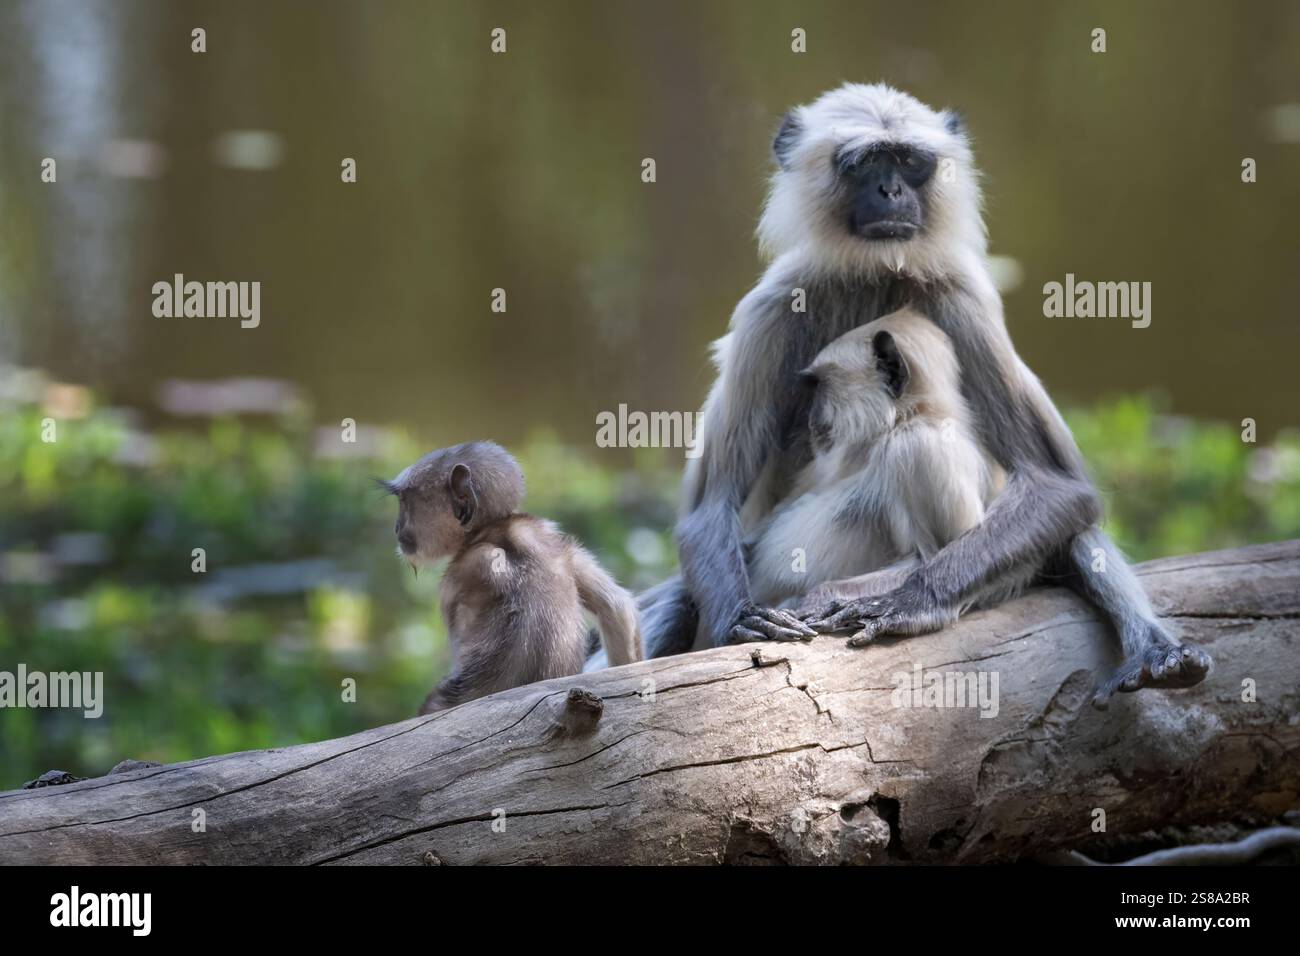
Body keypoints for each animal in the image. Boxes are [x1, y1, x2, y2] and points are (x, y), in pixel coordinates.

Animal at [381, 442, 641, 714]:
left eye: (405, 503)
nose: (397, 527)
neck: (491, 530)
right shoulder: (545, 531)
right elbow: (617, 606)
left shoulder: (455, 577)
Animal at [641, 83, 1210, 707]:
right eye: (865, 163)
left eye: (910, 162)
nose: (891, 191)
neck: (875, 274)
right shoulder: (771, 308)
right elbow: (710, 507)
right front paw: (743, 617)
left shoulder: (964, 298)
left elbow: (1060, 487)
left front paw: (907, 601)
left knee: (1070, 531)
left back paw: (1158, 654)